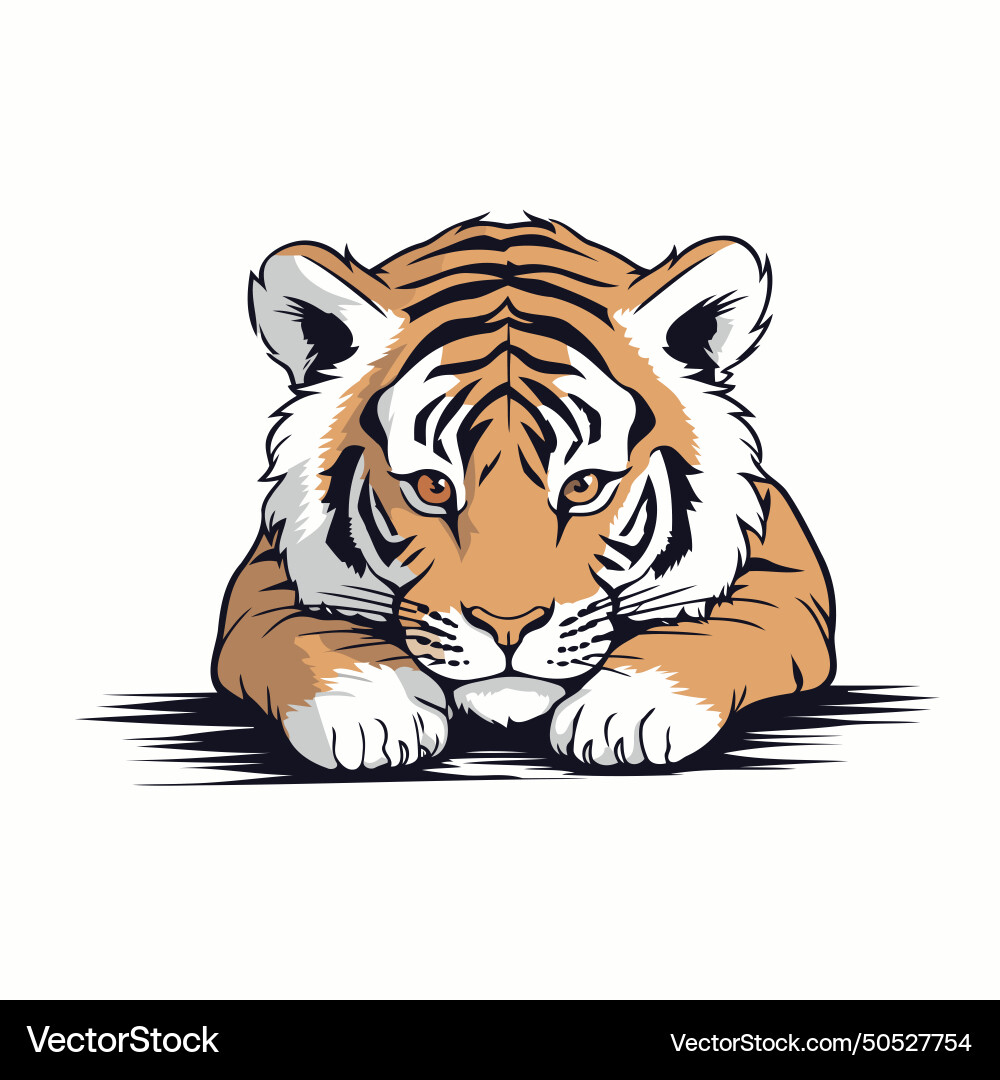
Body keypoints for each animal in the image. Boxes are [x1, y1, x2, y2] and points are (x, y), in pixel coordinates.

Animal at [212, 215, 835, 770]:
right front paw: (370, 711)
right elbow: (300, 632)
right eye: (433, 486)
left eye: (583, 485)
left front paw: (623, 712)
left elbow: (723, 628)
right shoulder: (262, 578)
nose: (507, 627)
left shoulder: (787, 565)